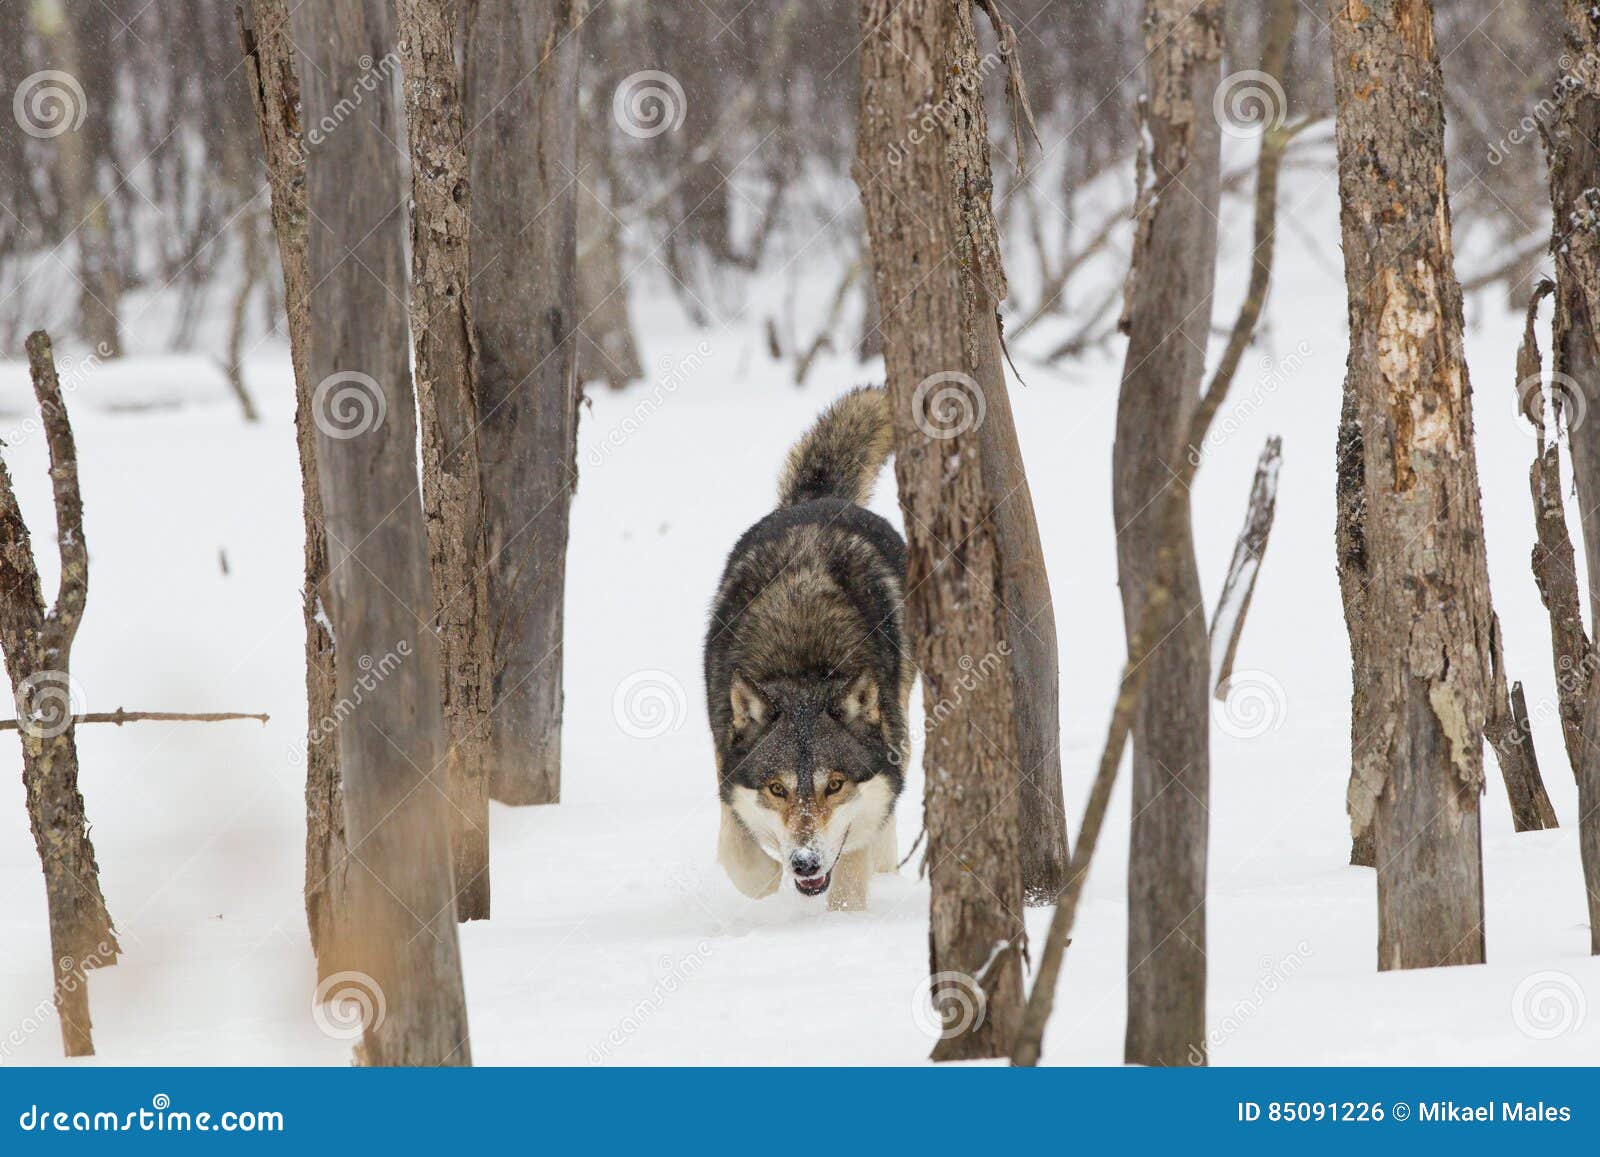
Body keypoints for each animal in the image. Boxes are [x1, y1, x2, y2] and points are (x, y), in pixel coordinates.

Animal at [705, 385, 912, 910]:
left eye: (834, 785)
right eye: (777, 789)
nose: (805, 863)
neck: (802, 660)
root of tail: (822, 498)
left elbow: (853, 867)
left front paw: (842, 923)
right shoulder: (725, 753)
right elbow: (737, 850)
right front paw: (769, 878)